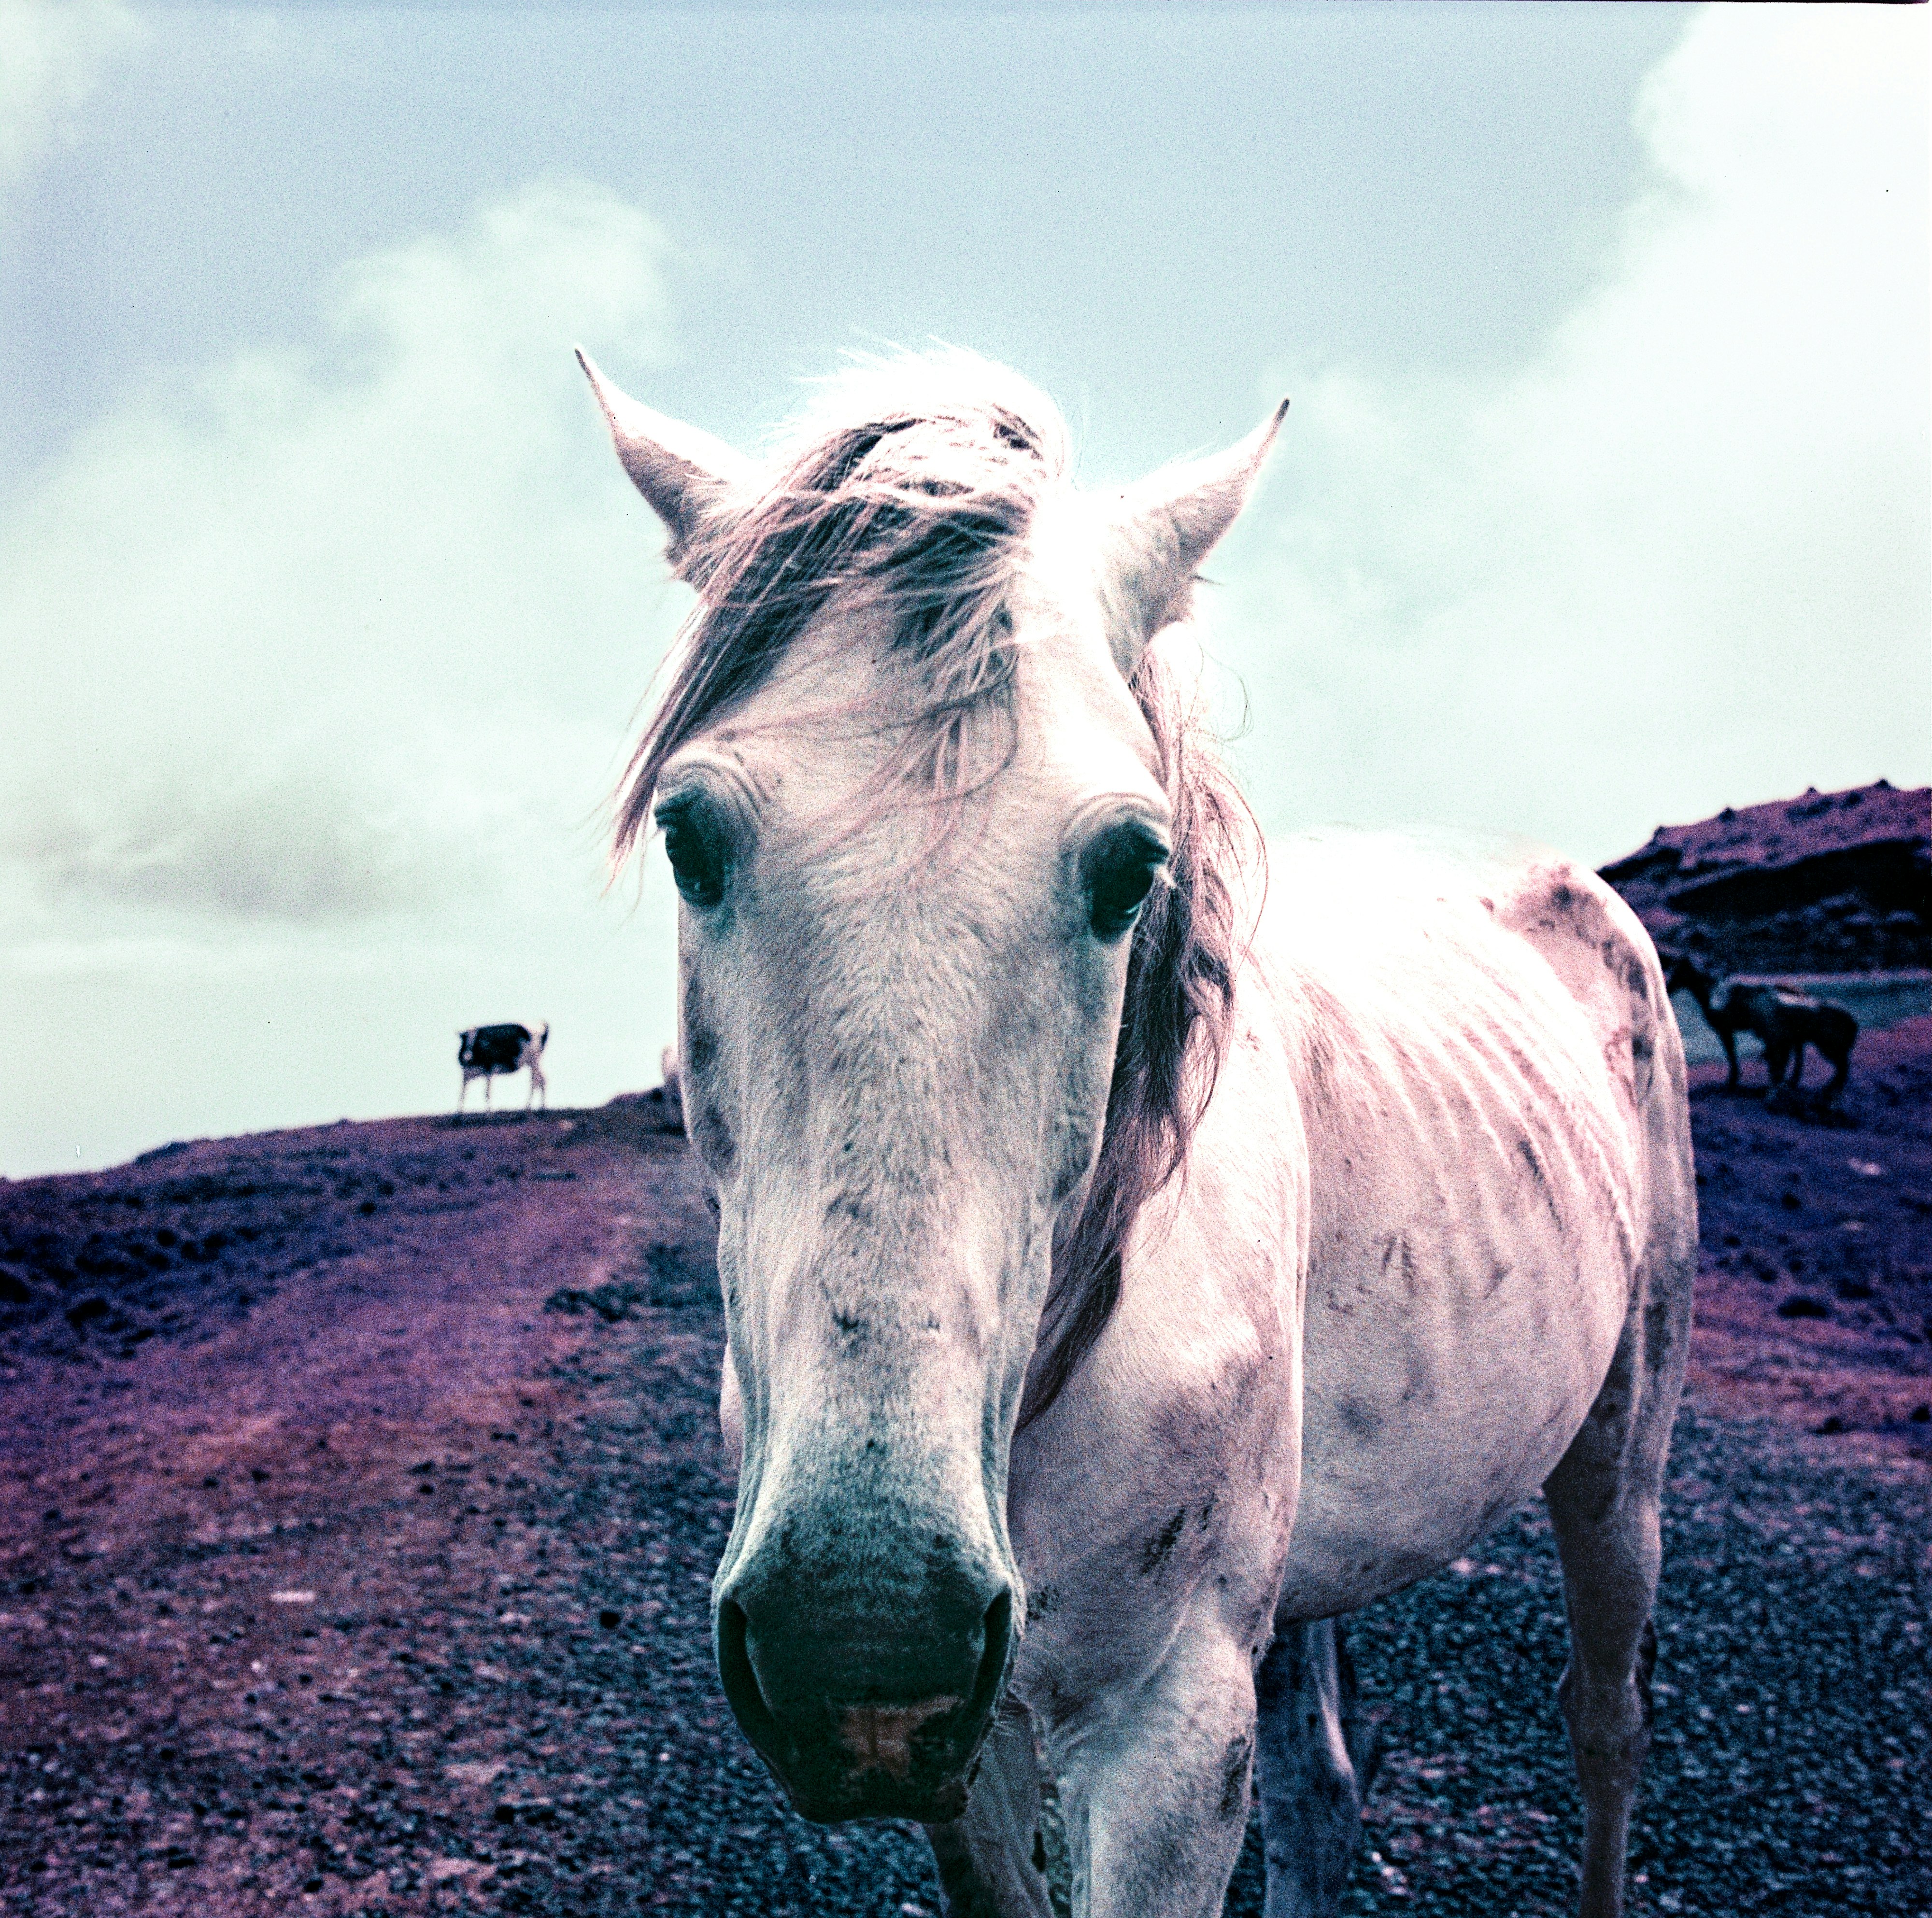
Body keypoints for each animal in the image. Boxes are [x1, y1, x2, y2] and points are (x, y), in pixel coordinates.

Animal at [581, 346, 1696, 1918]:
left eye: (1129, 867)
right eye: (689, 838)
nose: (864, 1631)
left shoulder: (1171, 1729)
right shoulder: (979, 1757)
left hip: (1619, 1461)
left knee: (1606, 1727)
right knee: (1321, 1792)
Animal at [1664, 954, 1857, 1109]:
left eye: (1679, 972)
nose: (1668, 988)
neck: (1711, 992)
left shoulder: (1725, 1031)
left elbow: (1732, 1055)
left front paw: (1732, 1081)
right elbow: (1734, 1055)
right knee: (1801, 1053)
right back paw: (1796, 1082)